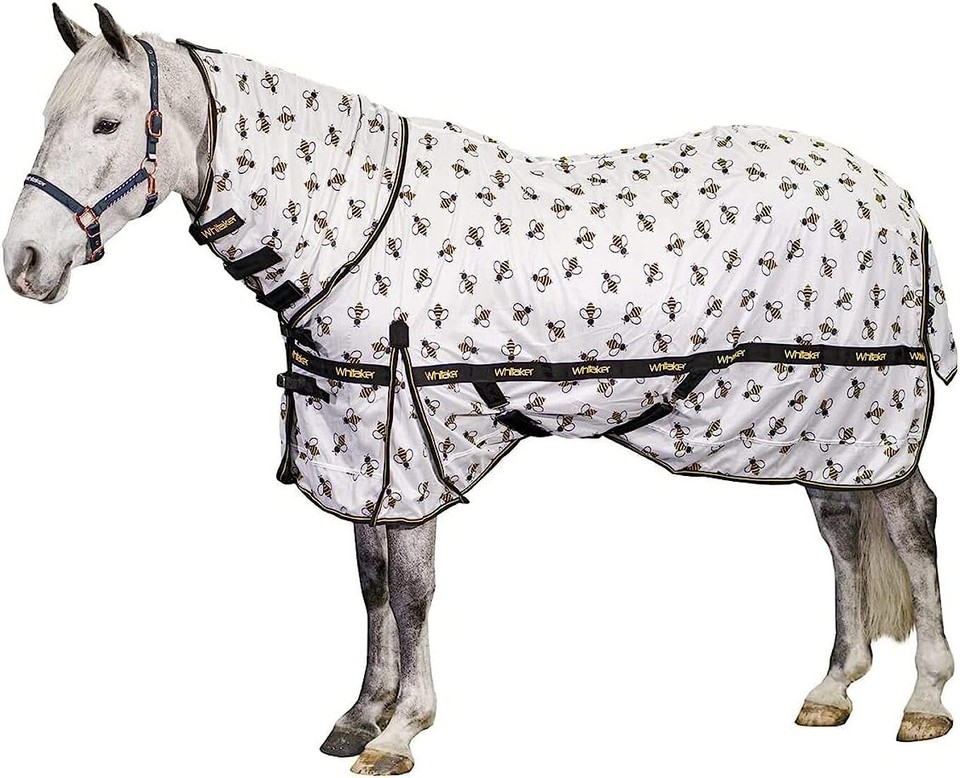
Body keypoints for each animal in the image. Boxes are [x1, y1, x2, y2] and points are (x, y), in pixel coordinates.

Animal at [2, 5, 955, 775]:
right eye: (47, 118)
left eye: (108, 122)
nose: (26, 264)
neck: (353, 228)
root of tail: (900, 197)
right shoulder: (365, 447)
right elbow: (372, 584)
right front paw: (362, 714)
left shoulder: (414, 444)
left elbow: (412, 592)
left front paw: (401, 732)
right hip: (821, 420)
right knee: (841, 532)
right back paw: (833, 688)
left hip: (869, 414)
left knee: (910, 526)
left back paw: (924, 703)